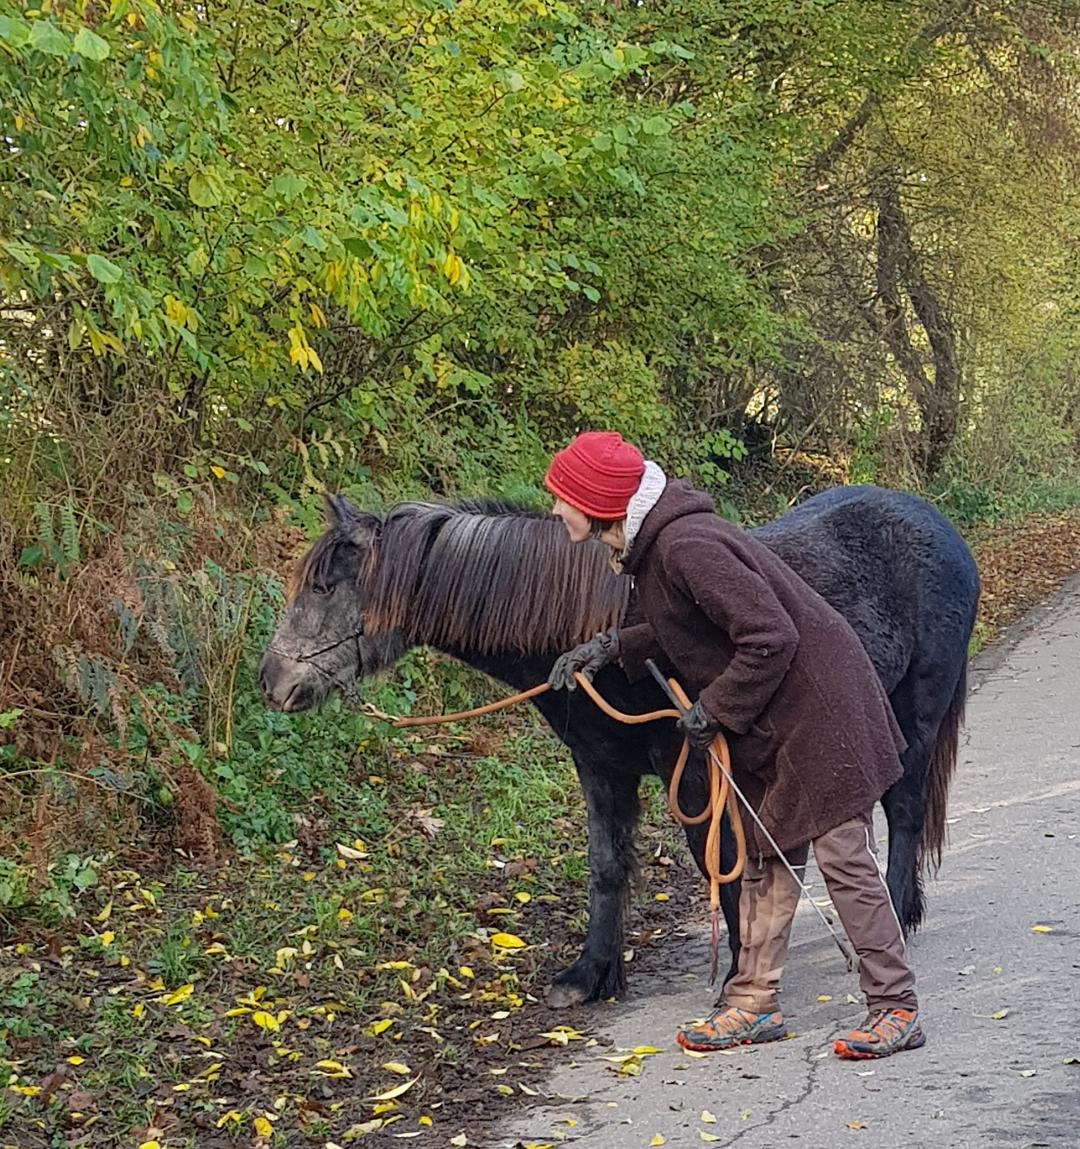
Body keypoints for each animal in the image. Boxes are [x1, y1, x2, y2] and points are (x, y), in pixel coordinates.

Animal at [259, 485, 979, 1007]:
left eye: (324, 585)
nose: (271, 681)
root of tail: (936, 523)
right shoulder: (599, 766)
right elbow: (606, 865)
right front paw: (589, 974)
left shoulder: (692, 765)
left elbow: (713, 855)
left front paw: (735, 974)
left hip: (917, 709)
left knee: (904, 807)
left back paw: (897, 913)